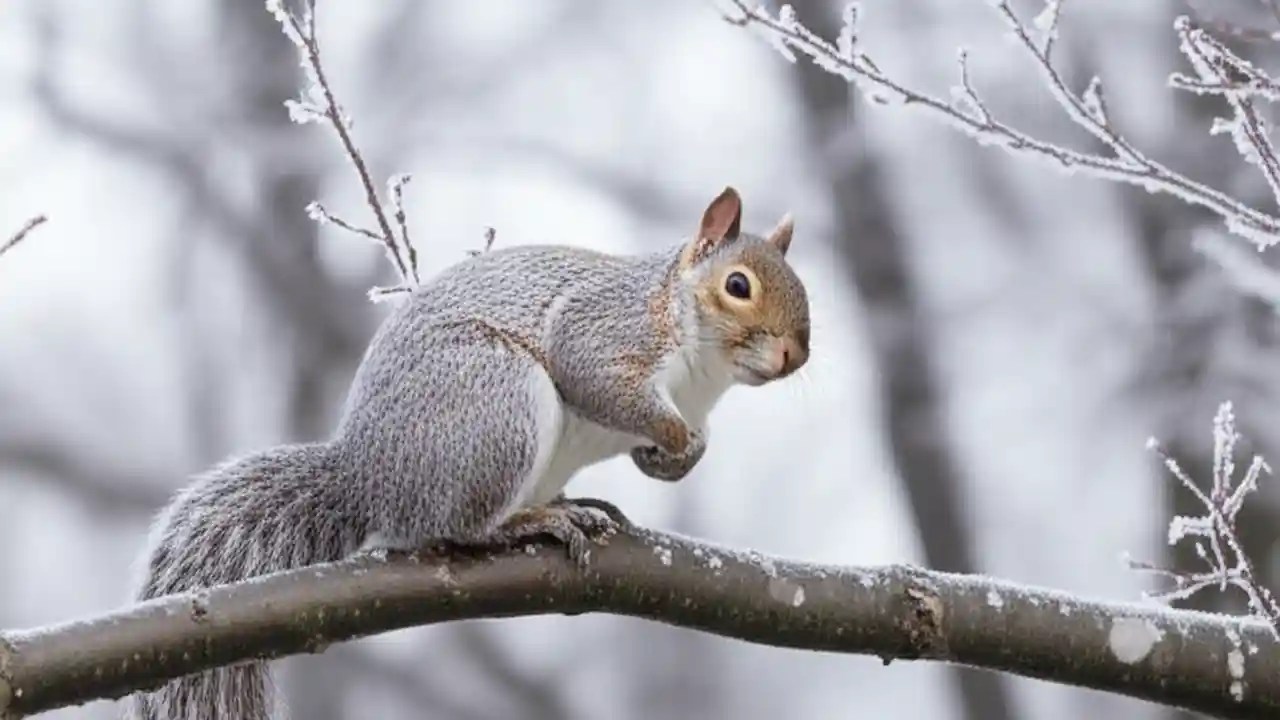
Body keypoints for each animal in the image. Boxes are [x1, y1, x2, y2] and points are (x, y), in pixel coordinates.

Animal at [125, 186, 811, 720]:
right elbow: (599, 381)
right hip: (496, 408)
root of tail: (366, 478)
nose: (793, 357)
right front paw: (672, 438)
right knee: (462, 527)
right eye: (738, 285)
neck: (702, 373)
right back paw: (535, 521)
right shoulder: (603, 332)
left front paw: (680, 457)